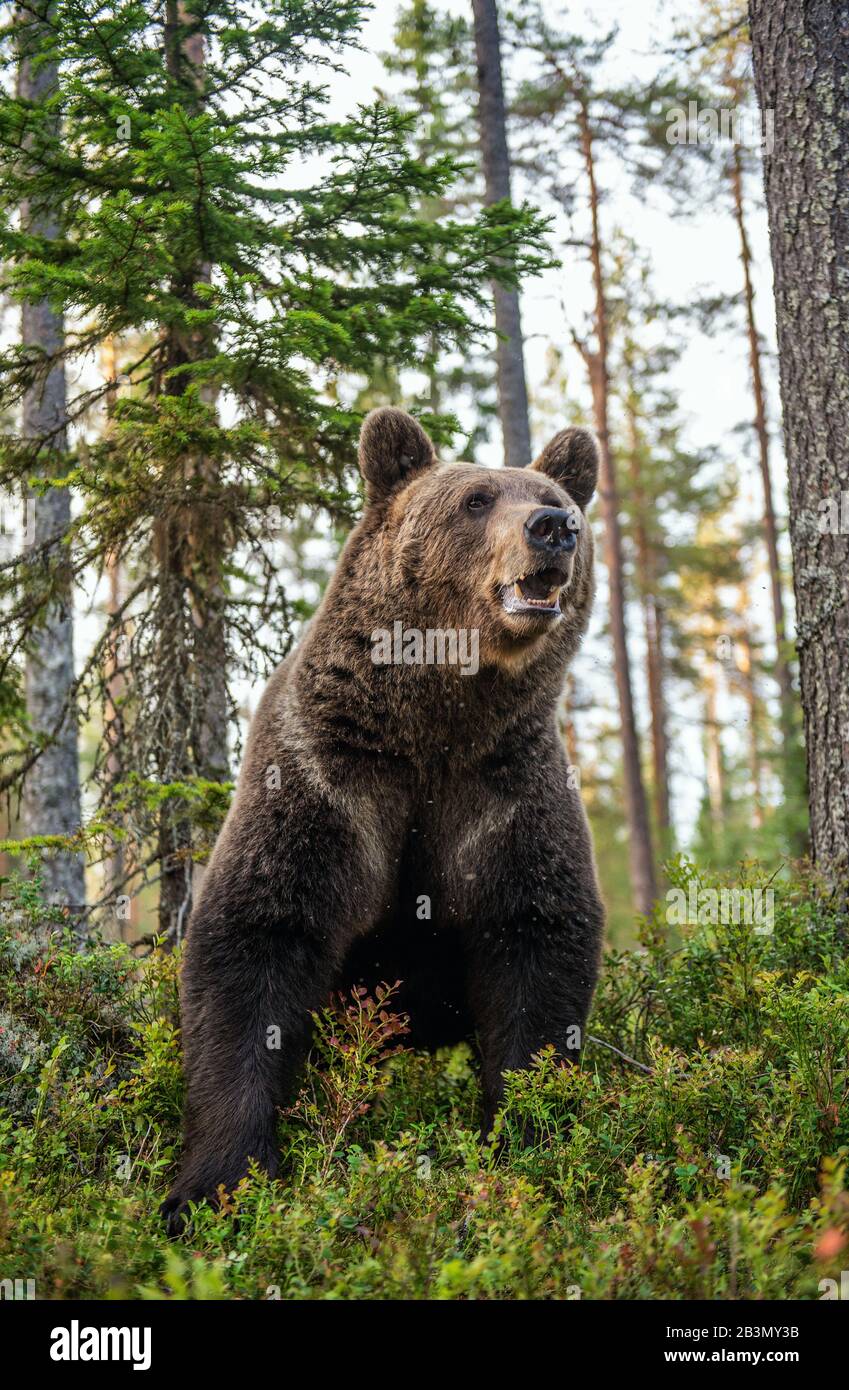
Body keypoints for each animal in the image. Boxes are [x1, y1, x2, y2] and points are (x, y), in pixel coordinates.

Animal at [162, 406, 605, 1231]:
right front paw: (215, 1184)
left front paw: (528, 1145)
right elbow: (257, 938)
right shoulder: (330, 774)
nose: (554, 528)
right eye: (475, 499)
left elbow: (536, 943)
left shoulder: (503, 786)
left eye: (556, 494)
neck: (435, 720)